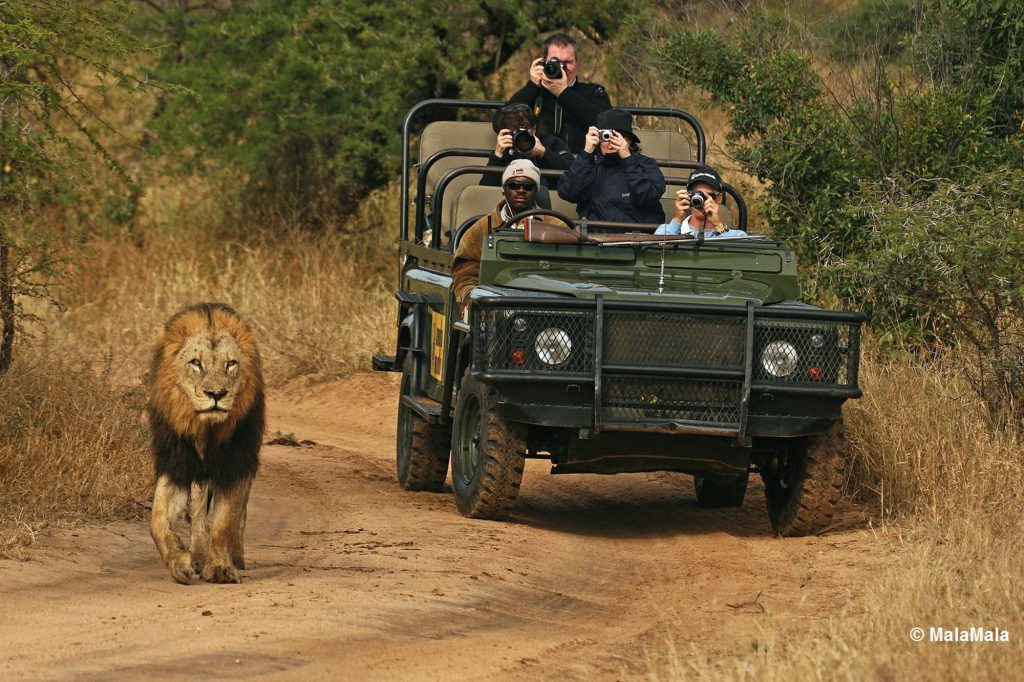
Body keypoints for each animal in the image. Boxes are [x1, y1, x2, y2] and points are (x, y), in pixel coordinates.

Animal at [147, 302, 265, 584]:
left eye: (231, 364)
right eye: (196, 363)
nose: (216, 394)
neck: (205, 429)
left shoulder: (236, 464)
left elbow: (225, 522)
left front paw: (221, 568)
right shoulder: (175, 464)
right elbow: (157, 520)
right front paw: (179, 561)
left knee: (239, 513)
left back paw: (235, 557)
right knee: (199, 513)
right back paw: (199, 555)